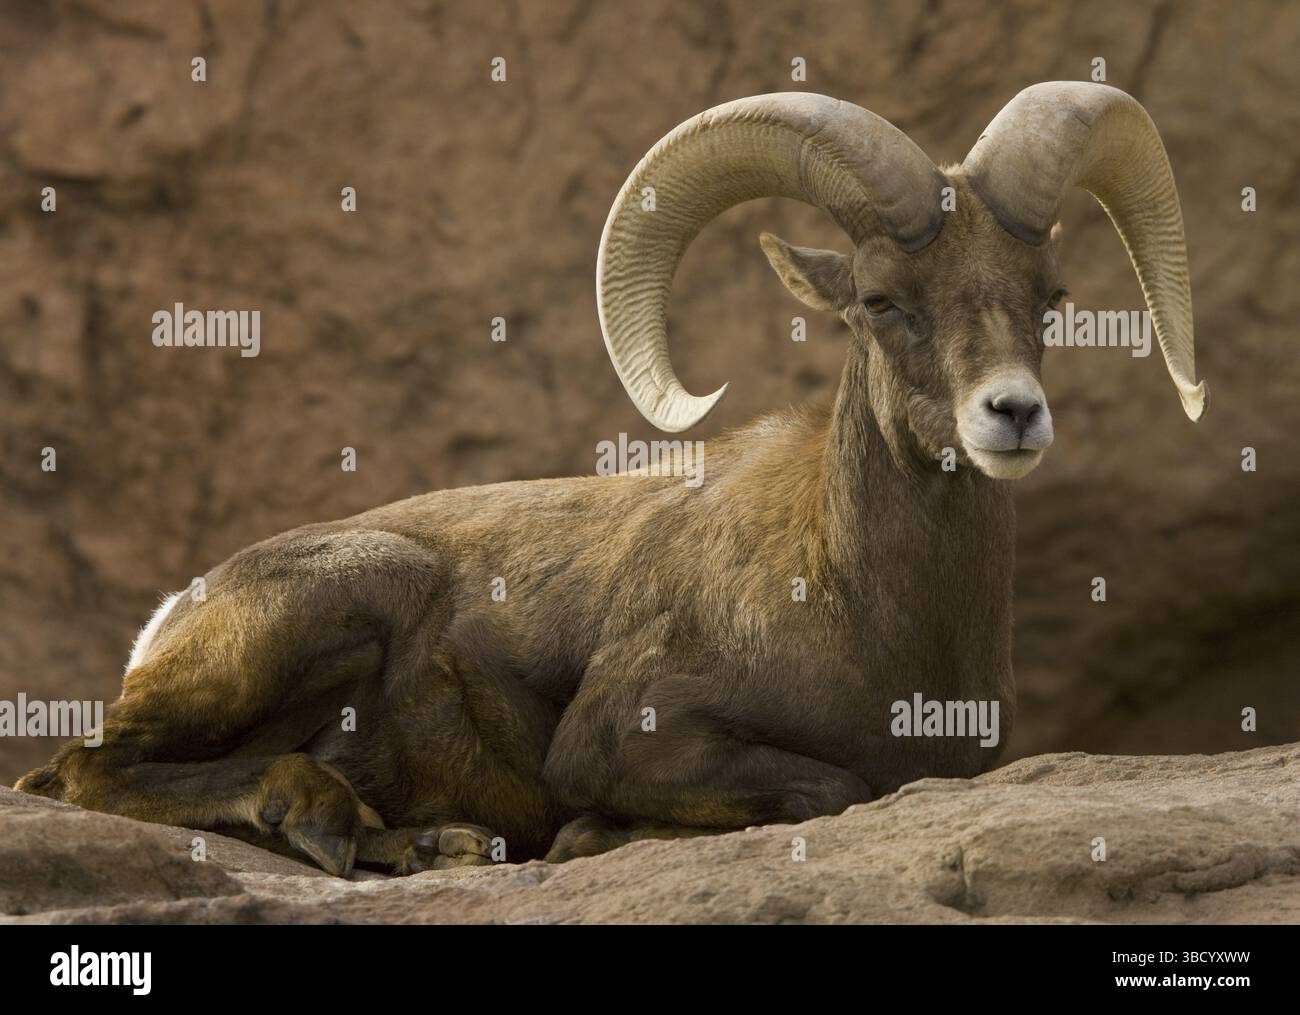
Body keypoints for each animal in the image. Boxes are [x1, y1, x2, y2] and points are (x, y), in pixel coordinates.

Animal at [17, 82, 1205, 875]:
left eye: (1049, 295)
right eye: (880, 300)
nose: (1011, 413)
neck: (871, 620)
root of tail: (171, 616)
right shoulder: (626, 738)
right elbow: (827, 785)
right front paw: (591, 836)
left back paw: (430, 844)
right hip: (339, 600)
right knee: (81, 769)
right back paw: (323, 817)